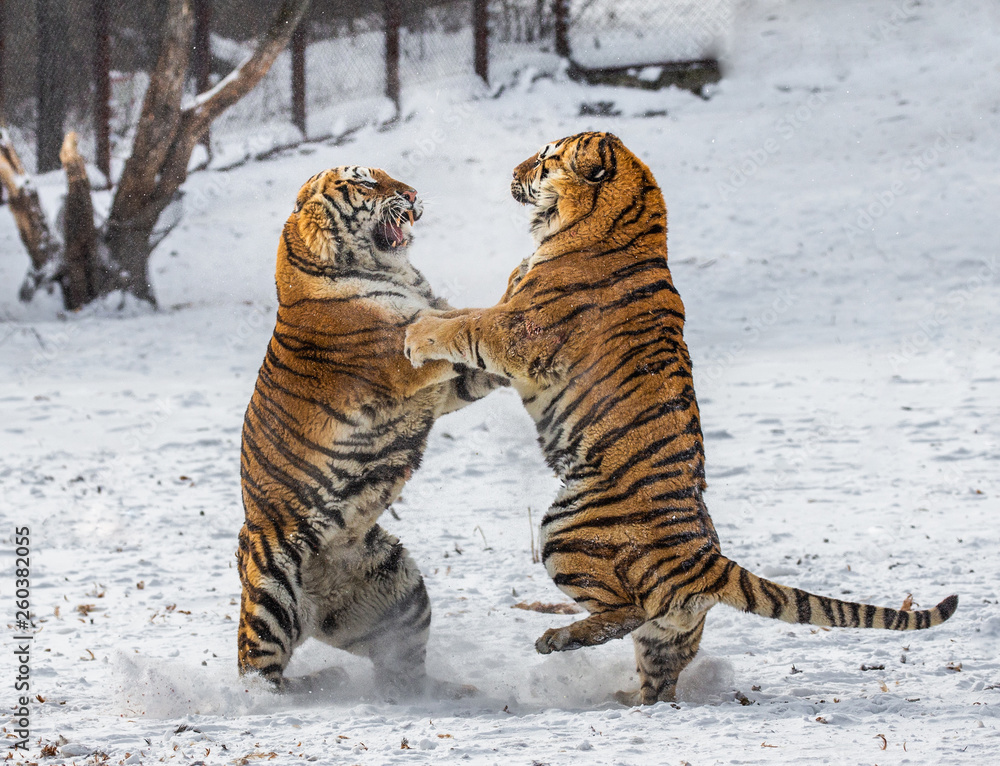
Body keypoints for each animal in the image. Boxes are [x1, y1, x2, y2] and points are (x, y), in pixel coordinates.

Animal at [237, 165, 504, 699]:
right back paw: (311, 687)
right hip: (269, 586)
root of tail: (318, 603)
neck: (393, 272)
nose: (414, 194)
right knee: (258, 677)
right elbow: (464, 328)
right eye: (365, 183)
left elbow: (474, 339)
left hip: (401, 587)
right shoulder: (407, 358)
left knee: (400, 674)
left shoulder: (451, 387)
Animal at [403, 132, 958, 705]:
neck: (615, 222)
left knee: (623, 612)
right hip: (669, 625)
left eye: (543, 158)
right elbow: (462, 322)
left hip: (566, 528)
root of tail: (707, 558)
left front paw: (416, 335)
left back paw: (556, 640)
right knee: (659, 665)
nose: (512, 172)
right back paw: (629, 699)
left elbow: (466, 324)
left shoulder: (519, 331)